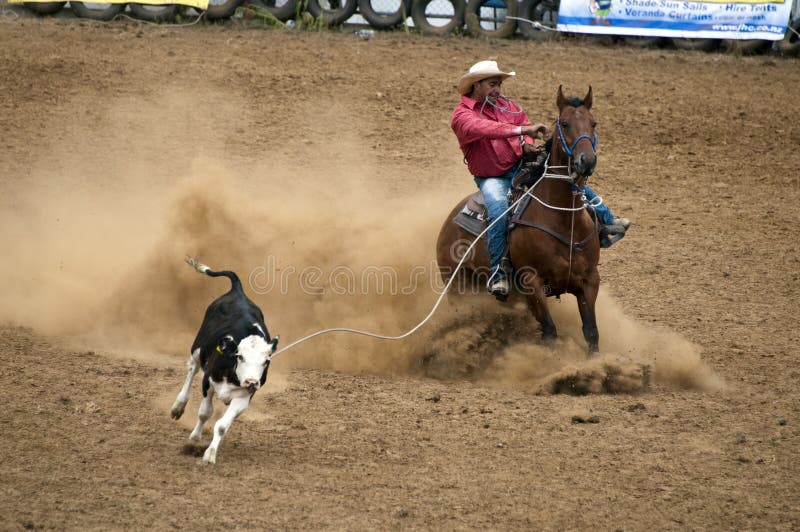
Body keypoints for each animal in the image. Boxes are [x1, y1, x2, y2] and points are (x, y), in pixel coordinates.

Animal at [170, 257, 279, 464]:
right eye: (240, 356)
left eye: (265, 361)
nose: (252, 381)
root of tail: (237, 290)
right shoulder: (208, 382)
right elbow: (204, 413)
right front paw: (194, 439)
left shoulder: (244, 396)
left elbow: (221, 426)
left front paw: (210, 454)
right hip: (197, 349)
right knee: (192, 369)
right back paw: (178, 406)